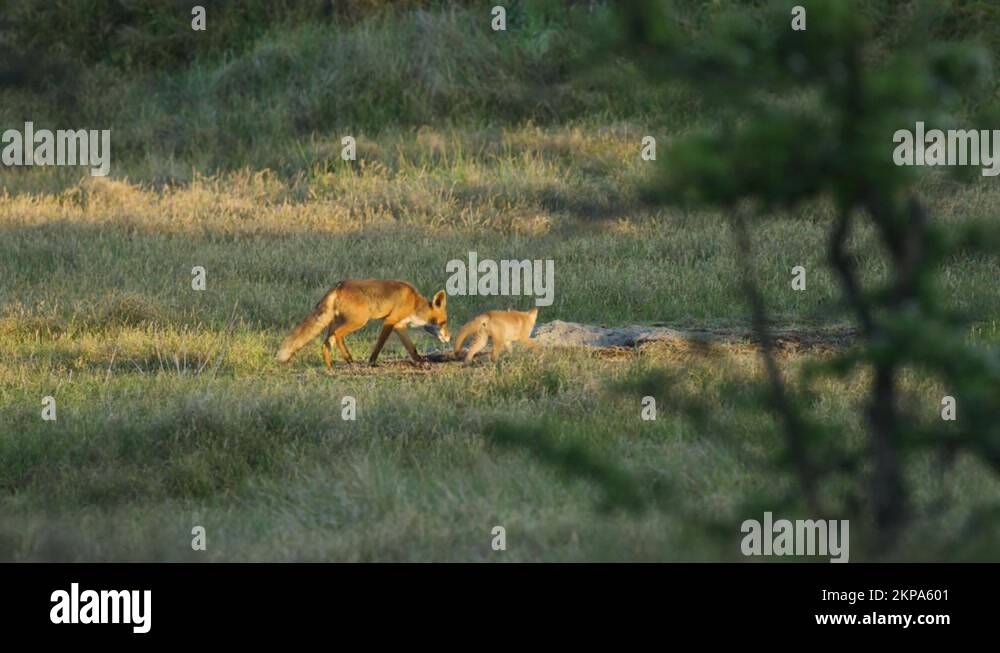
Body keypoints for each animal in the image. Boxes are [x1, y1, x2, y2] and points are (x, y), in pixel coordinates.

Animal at [275, 280, 450, 369]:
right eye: (444, 322)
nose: (449, 338)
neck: (414, 303)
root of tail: (339, 285)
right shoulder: (390, 321)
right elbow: (379, 345)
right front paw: (372, 362)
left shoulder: (399, 325)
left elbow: (411, 348)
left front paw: (420, 361)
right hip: (359, 321)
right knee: (337, 336)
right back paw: (348, 360)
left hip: (336, 322)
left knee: (325, 343)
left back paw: (330, 367)